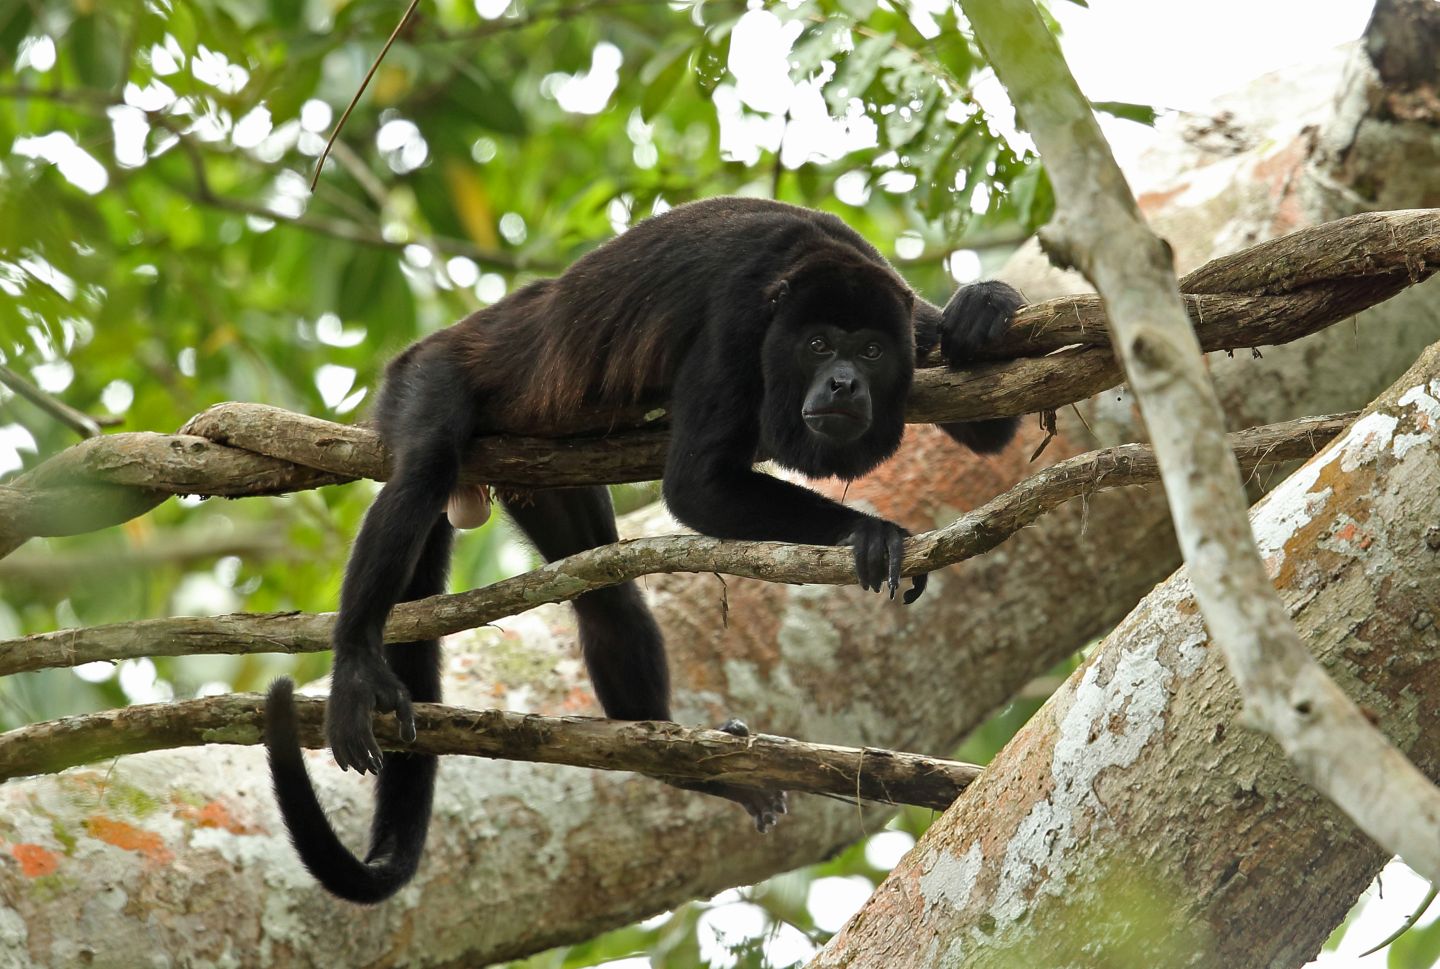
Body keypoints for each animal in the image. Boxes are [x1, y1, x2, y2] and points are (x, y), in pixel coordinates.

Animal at [264, 196, 1024, 904]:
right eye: (817, 345)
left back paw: (689, 768)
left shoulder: (901, 313)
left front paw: (981, 307)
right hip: (424, 375)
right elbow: (694, 486)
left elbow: (986, 426)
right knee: (422, 470)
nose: (844, 382)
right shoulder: (737, 321)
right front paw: (871, 532)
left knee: (608, 597)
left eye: (870, 351)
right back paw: (355, 665)